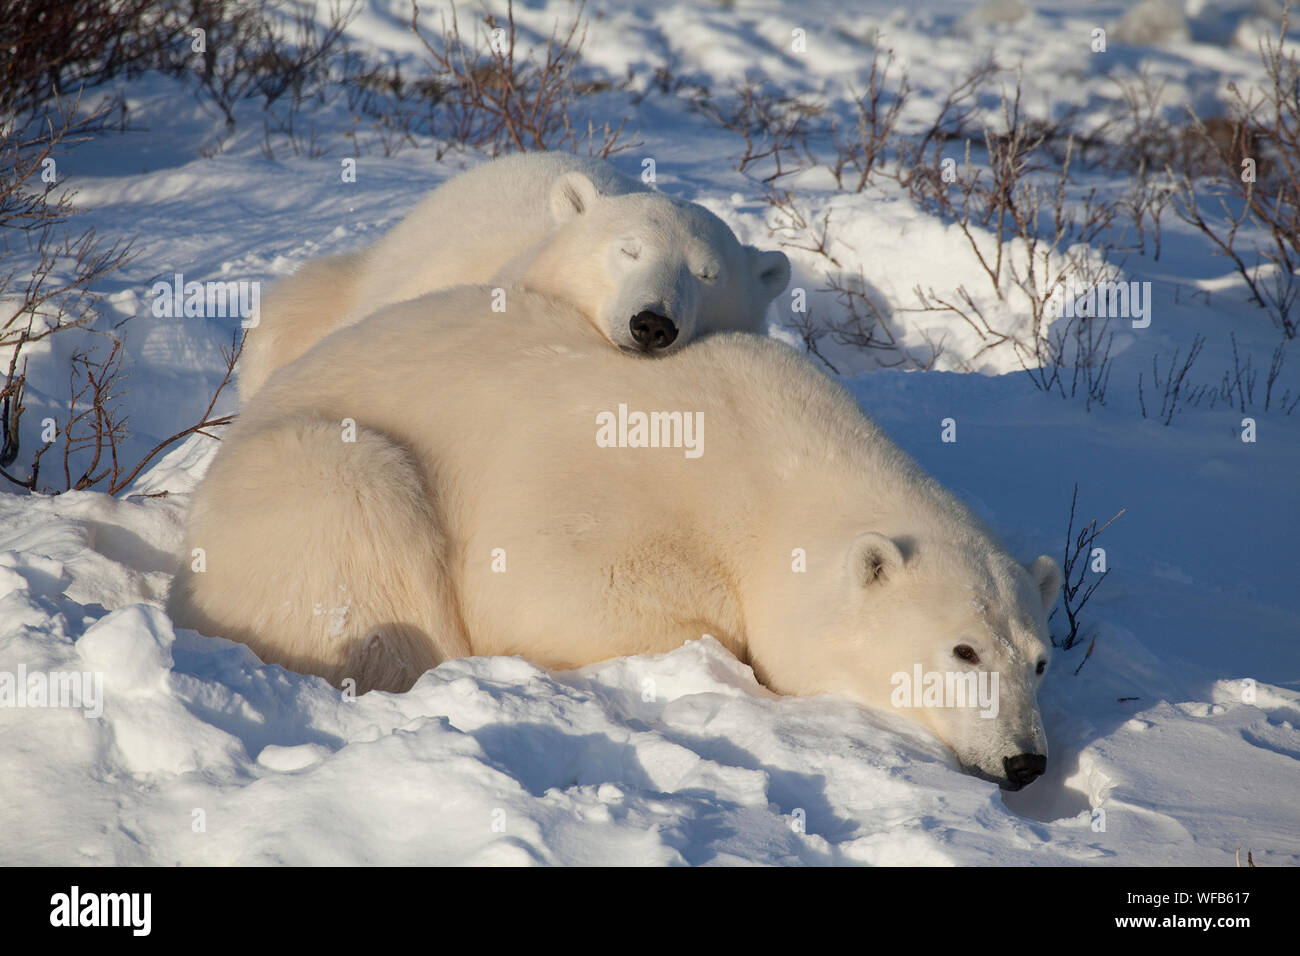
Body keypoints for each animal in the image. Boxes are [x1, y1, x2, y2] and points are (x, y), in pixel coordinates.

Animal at [168, 283, 1063, 791]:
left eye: (1041, 661)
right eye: (963, 650)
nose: (1027, 762)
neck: (773, 454)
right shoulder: (603, 476)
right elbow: (549, 587)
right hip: (313, 482)